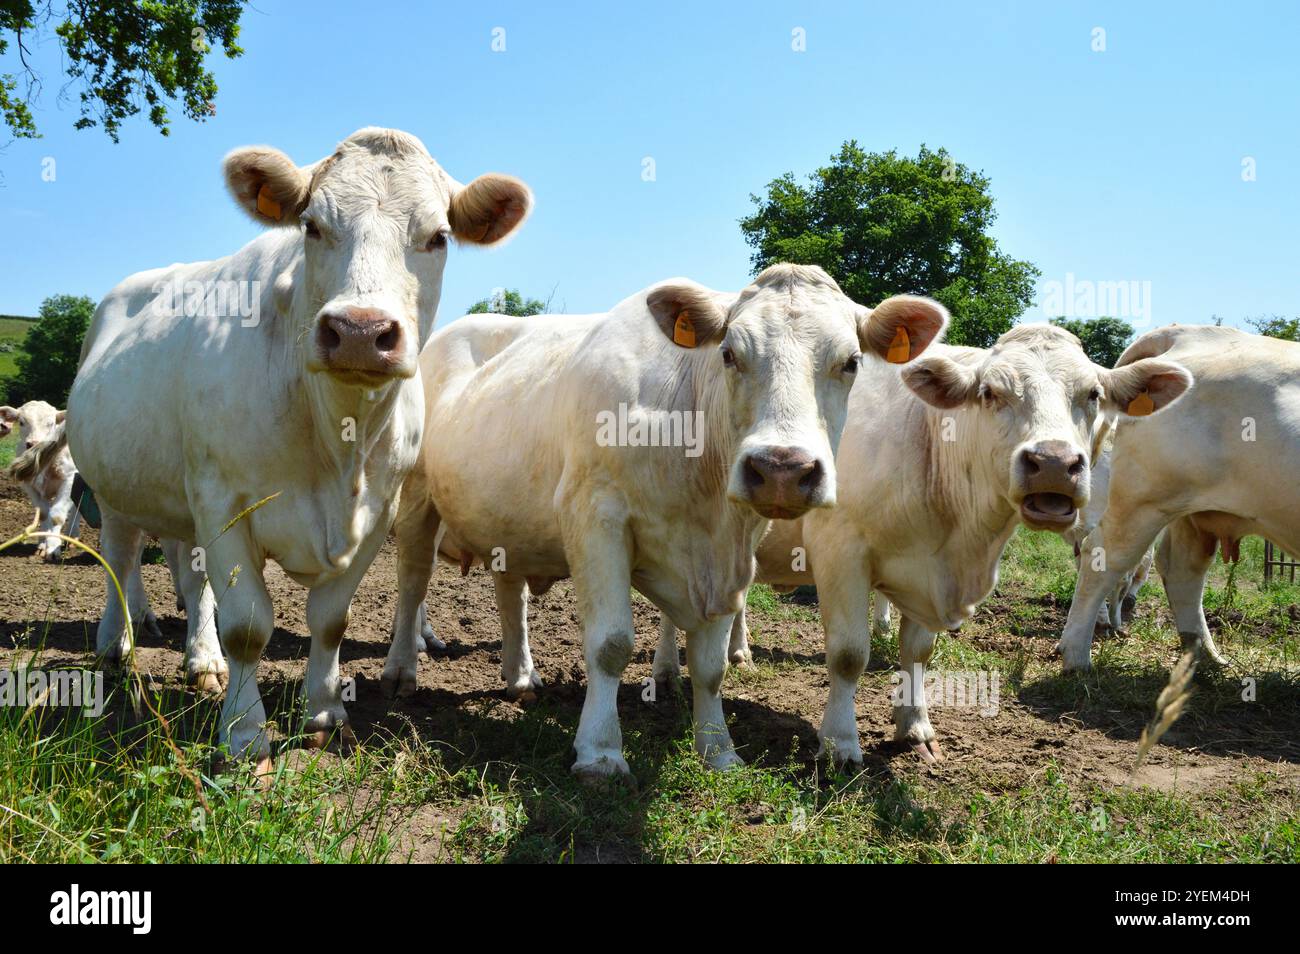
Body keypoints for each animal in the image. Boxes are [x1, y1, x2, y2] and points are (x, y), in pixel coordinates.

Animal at [3, 401, 80, 561]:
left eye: (51, 423)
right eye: (21, 422)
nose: (33, 443)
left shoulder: (70, 478)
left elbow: (57, 515)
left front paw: (53, 548)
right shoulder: (28, 484)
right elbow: (44, 513)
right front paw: (43, 545)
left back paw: (72, 536)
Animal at [30, 128, 530, 769]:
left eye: (438, 237)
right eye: (312, 226)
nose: (361, 331)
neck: (338, 441)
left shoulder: (378, 514)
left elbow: (330, 621)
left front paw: (325, 714)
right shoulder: (223, 500)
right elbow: (248, 625)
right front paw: (245, 738)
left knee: (193, 583)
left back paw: (202, 661)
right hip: (115, 485)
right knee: (121, 560)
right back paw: (115, 649)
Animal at [380, 265, 949, 778]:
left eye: (850, 362)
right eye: (729, 354)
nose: (782, 469)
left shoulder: (728, 556)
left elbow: (711, 666)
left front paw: (719, 750)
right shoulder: (595, 517)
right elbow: (610, 644)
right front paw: (600, 752)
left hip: (506, 518)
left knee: (508, 593)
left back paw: (520, 676)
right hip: (416, 496)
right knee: (412, 580)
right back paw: (401, 670)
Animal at [687, 324, 1190, 765]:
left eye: (1093, 395)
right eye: (990, 393)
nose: (1052, 463)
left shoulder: (926, 573)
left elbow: (918, 653)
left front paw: (915, 726)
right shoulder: (840, 551)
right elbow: (849, 655)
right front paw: (840, 743)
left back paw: (733, 653)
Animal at [1059, 324, 1298, 671]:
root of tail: (1184, 333)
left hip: (1190, 512)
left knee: (1182, 570)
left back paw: (1204, 654)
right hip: (1143, 502)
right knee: (1101, 559)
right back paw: (1077, 656)